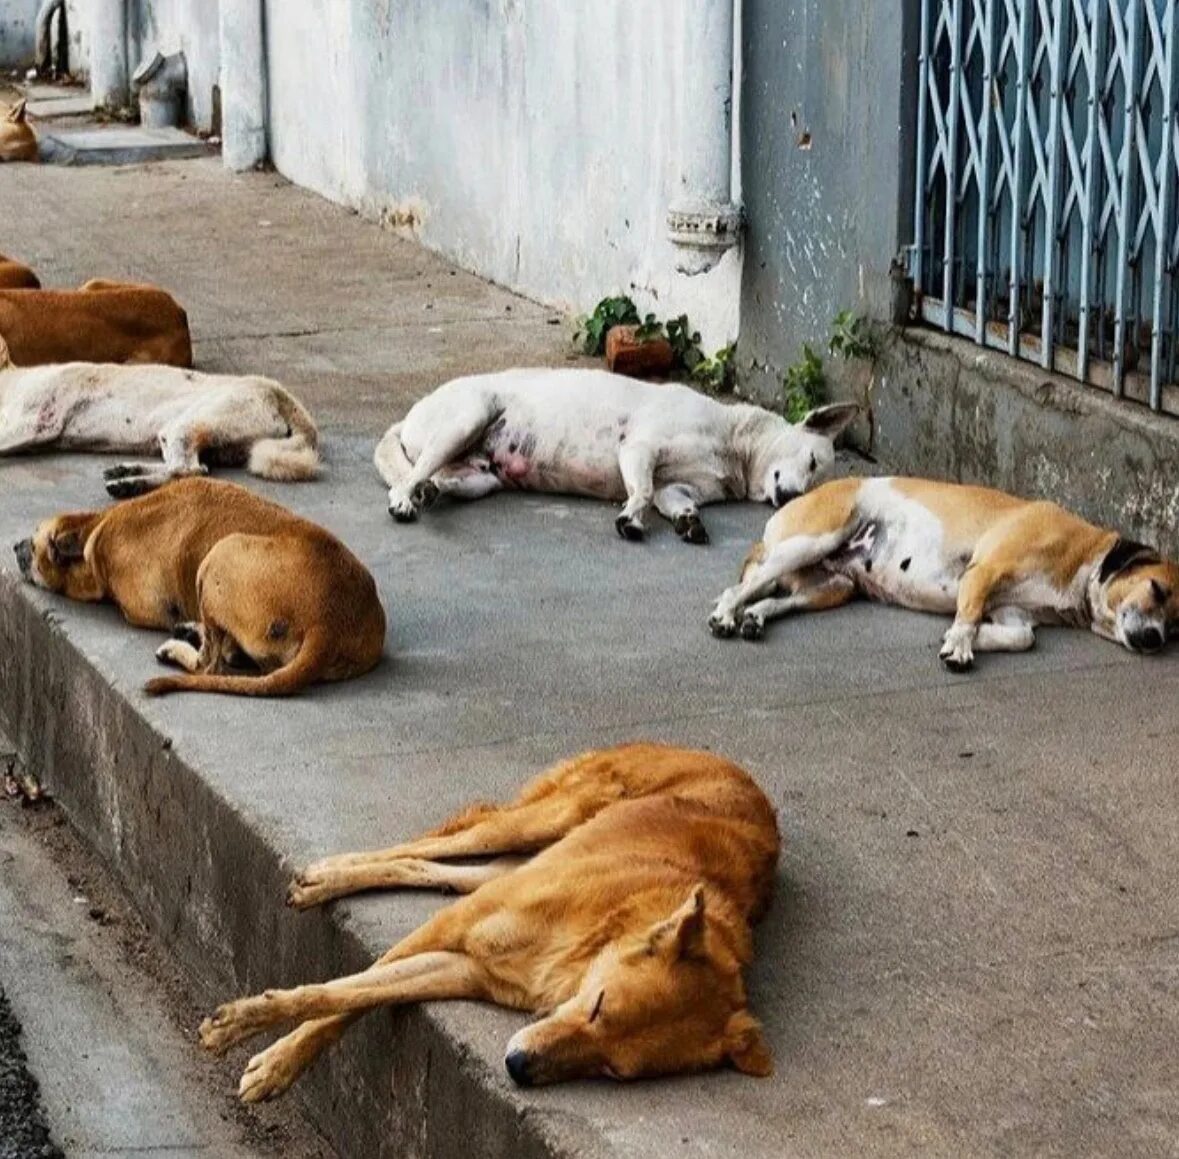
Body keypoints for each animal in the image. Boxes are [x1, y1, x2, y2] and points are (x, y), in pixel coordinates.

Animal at [0, 334, 320, 497]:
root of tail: (277, 392)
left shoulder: (38, 421)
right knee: (193, 468)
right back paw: (128, 474)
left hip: (186, 425)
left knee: (189, 470)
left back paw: (132, 484)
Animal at [12, 473, 386, 693]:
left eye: (34, 542)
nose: (15, 547)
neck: (98, 528)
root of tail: (329, 623)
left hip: (219, 554)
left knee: (210, 664)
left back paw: (182, 646)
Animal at [198, 745, 778, 1103]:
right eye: (598, 1006)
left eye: (613, 1069)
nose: (518, 1067)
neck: (591, 940)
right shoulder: (449, 929)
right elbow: (334, 995)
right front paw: (255, 1043)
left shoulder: (464, 969)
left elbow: (356, 997)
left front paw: (274, 1058)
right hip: (538, 822)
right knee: (435, 843)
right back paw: (326, 874)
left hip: (520, 858)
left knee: (435, 868)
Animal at [374, 370, 858, 547]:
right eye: (811, 463)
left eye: (813, 486)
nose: (788, 497)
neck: (733, 444)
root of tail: (409, 415)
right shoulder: (639, 449)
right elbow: (640, 492)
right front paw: (630, 519)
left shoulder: (675, 489)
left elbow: (671, 501)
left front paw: (689, 522)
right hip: (467, 416)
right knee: (409, 477)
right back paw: (404, 501)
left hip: (481, 477)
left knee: (440, 480)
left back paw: (427, 492)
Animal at [707, 473, 1179, 669]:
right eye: (1156, 589)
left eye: (1177, 628)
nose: (1155, 640)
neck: (1083, 560)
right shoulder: (984, 572)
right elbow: (968, 614)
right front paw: (960, 645)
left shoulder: (1015, 614)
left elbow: (1019, 638)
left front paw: (970, 638)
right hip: (810, 541)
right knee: (738, 590)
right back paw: (727, 616)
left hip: (833, 586)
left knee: (771, 598)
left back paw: (754, 619)